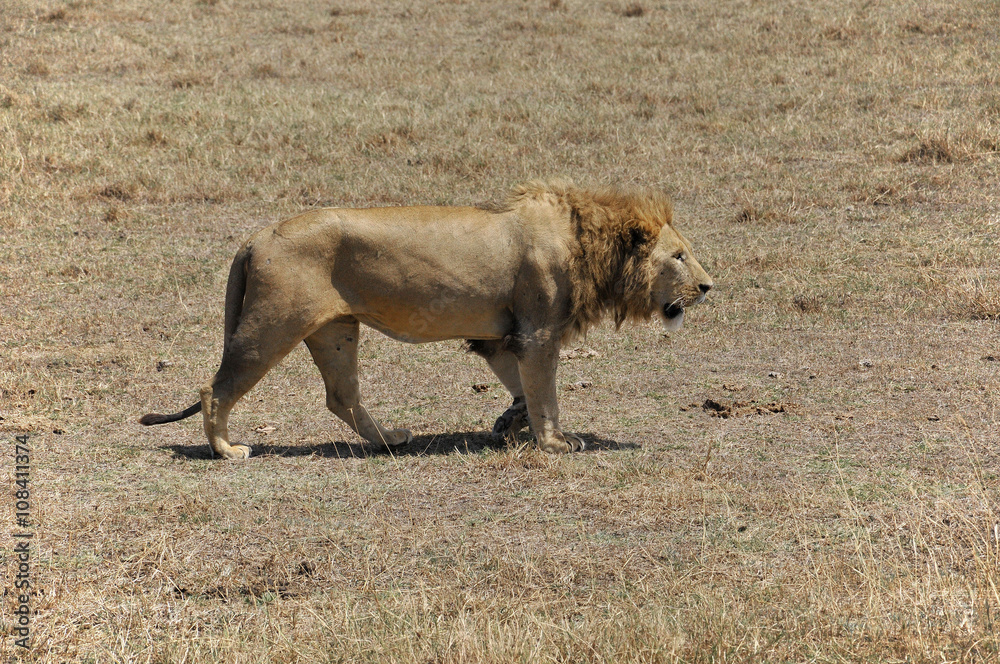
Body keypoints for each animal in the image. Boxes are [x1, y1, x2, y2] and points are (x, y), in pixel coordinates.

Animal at [140, 180, 713, 459]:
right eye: (679, 256)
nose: (709, 287)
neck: (586, 239)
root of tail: (256, 235)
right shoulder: (537, 333)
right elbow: (546, 394)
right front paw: (554, 443)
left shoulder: (499, 337)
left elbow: (522, 390)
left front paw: (508, 424)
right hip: (271, 325)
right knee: (216, 389)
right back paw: (227, 449)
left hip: (335, 331)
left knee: (340, 397)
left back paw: (390, 439)